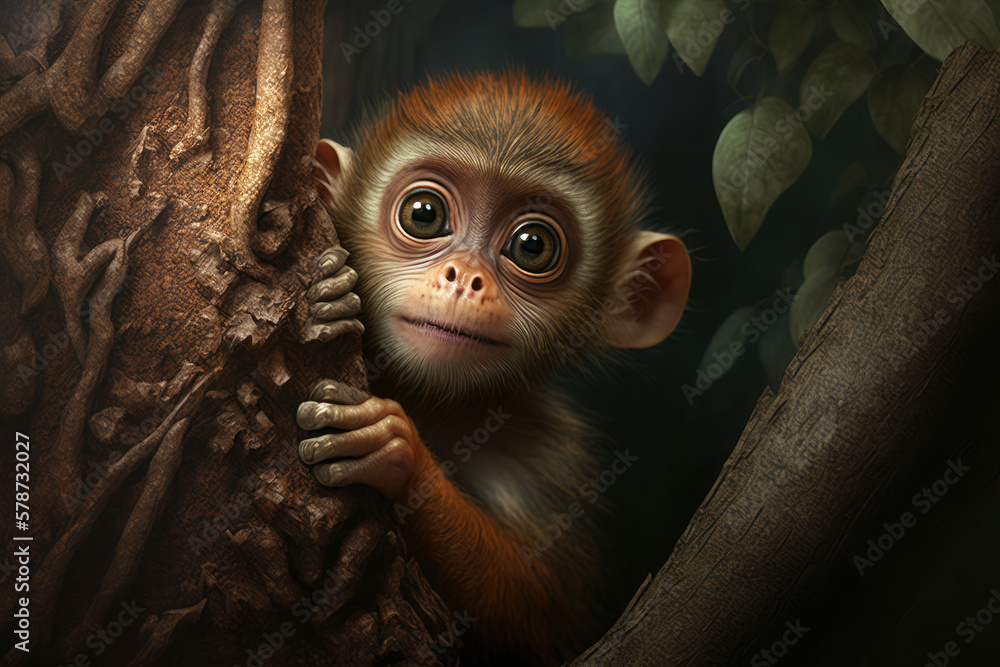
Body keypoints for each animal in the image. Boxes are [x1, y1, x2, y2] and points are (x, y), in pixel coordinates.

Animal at [296, 68, 691, 665]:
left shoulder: (544, 456)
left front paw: (397, 453)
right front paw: (336, 298)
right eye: (424, 215)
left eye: (532, 245)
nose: (464, 277)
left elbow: (536, 623)